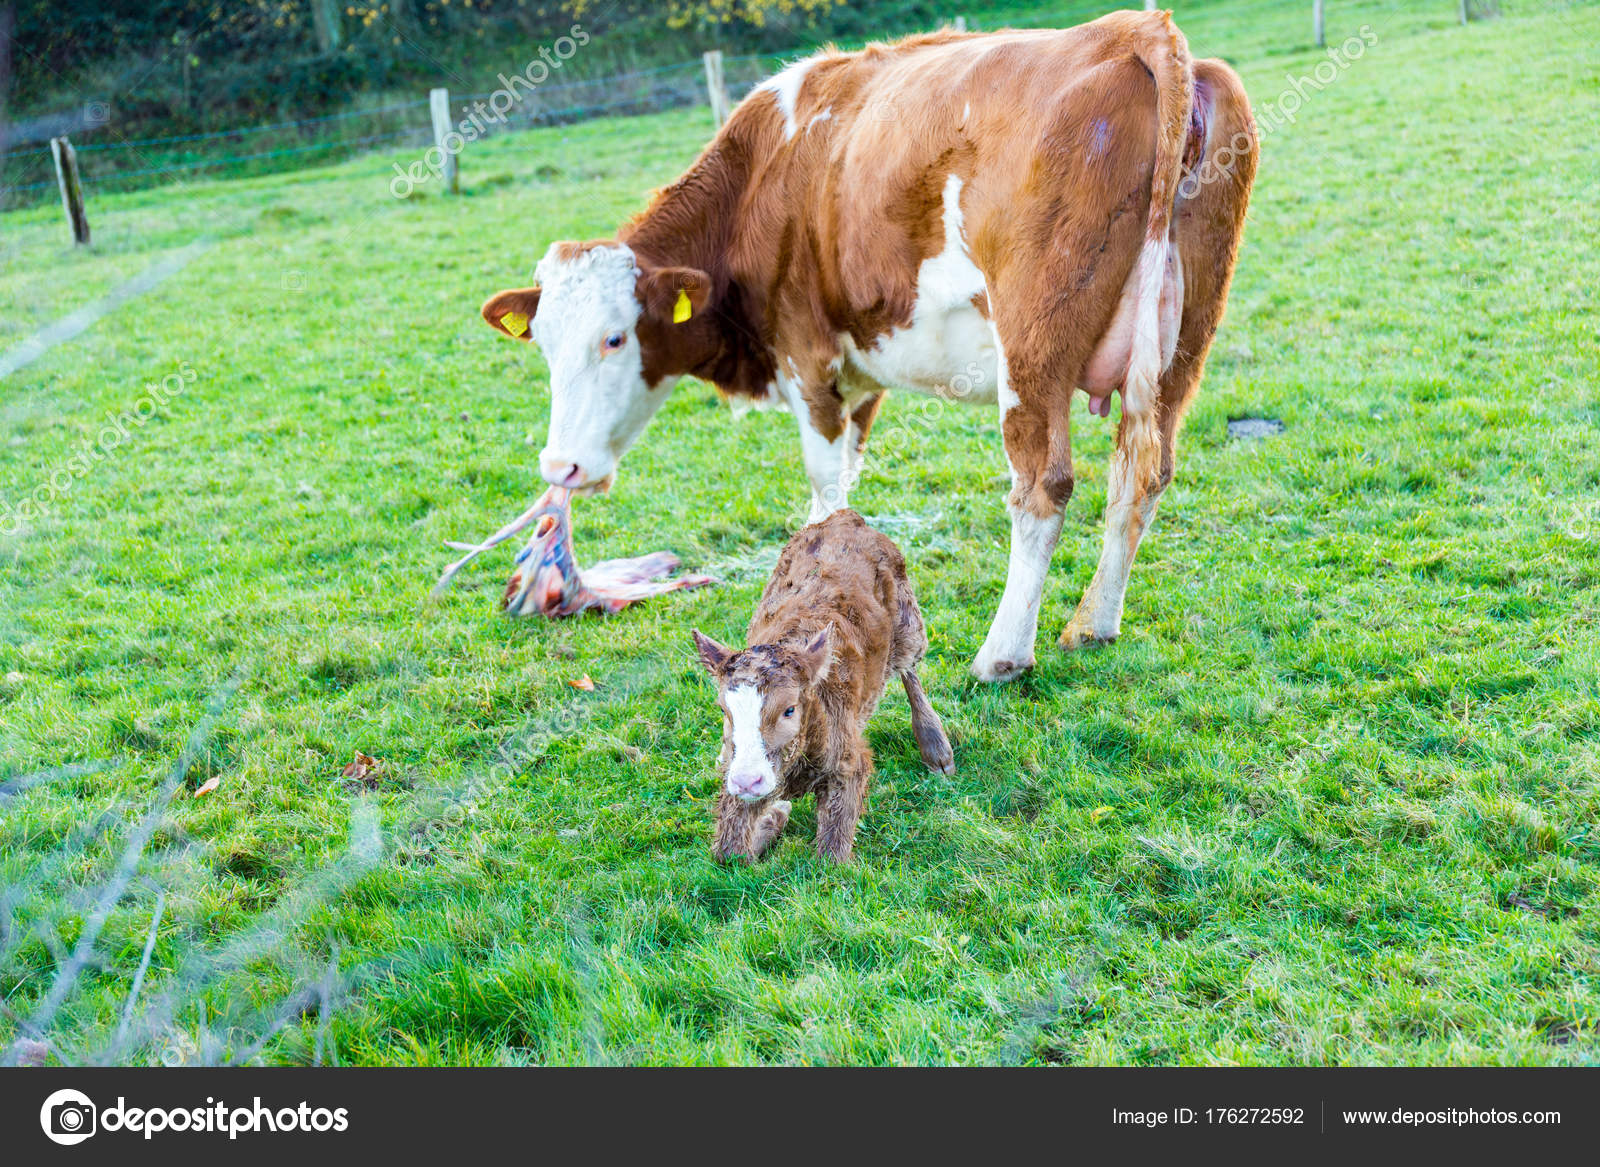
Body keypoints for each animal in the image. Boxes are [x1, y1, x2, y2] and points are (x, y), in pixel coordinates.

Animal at [481, 8, 1258, 682]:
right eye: (543, 345)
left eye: (615, 338)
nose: (560, 465)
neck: (764, 174)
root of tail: (1135, 29)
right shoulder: (861, 369)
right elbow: (845, 481)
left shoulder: (807, 355)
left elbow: (826, 492)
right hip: (1183, 347)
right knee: (1143, 474)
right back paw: (1094, 624)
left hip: (1031, 352)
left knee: (1044, 487)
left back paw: (1002, 654)